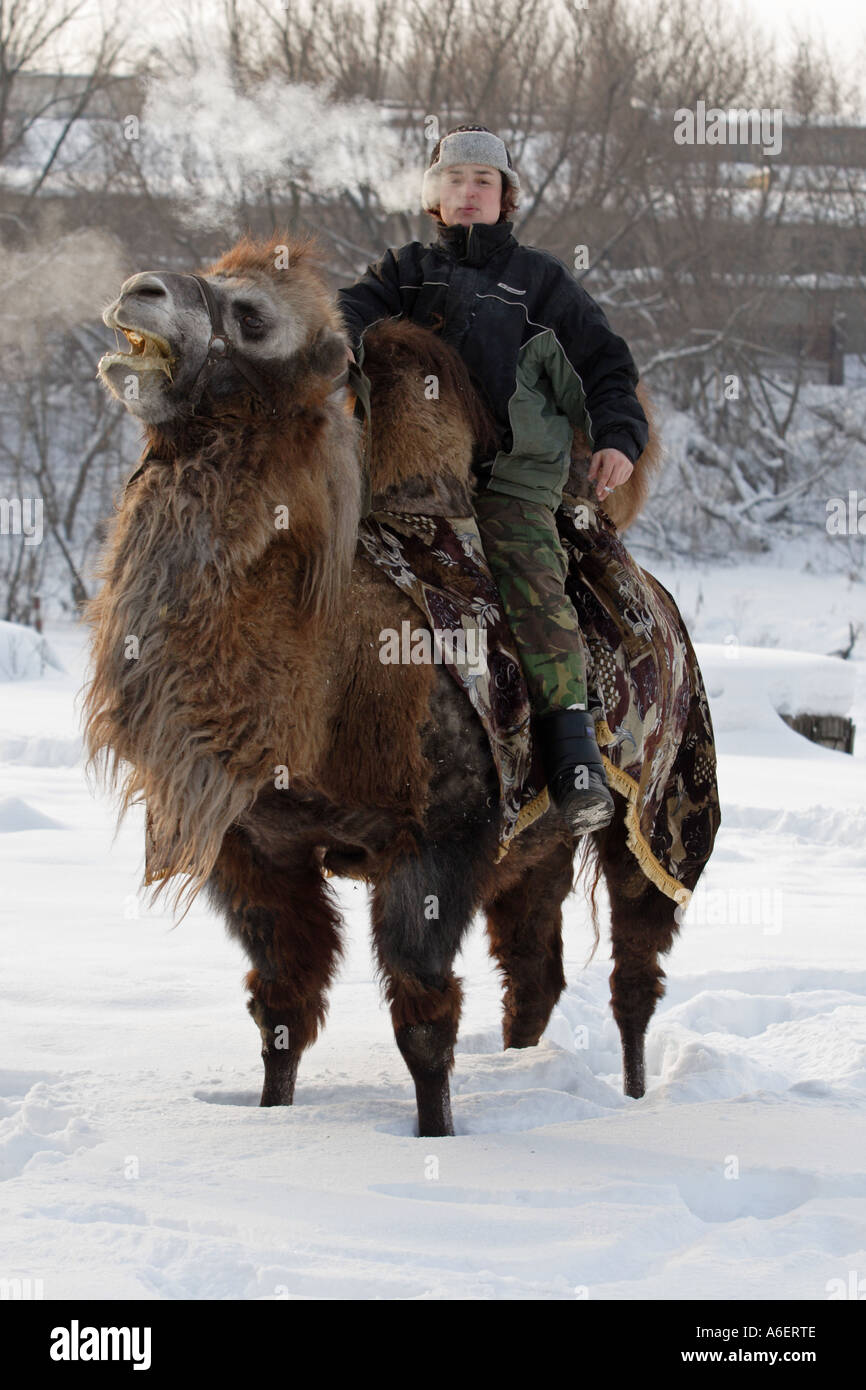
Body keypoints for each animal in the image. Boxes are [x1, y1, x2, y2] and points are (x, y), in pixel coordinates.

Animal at [85, 230, 692, 1138]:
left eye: (252, 315)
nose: (138, 291)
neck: (324, 678)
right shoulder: (257, 847)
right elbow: (281, 1007)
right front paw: (270, 1120)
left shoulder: (437, 841)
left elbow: (423, 1020)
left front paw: (434, 1137)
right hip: (536, 847)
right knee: (534, 970)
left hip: (657, 817)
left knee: (633, 969)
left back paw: (634, 1098)